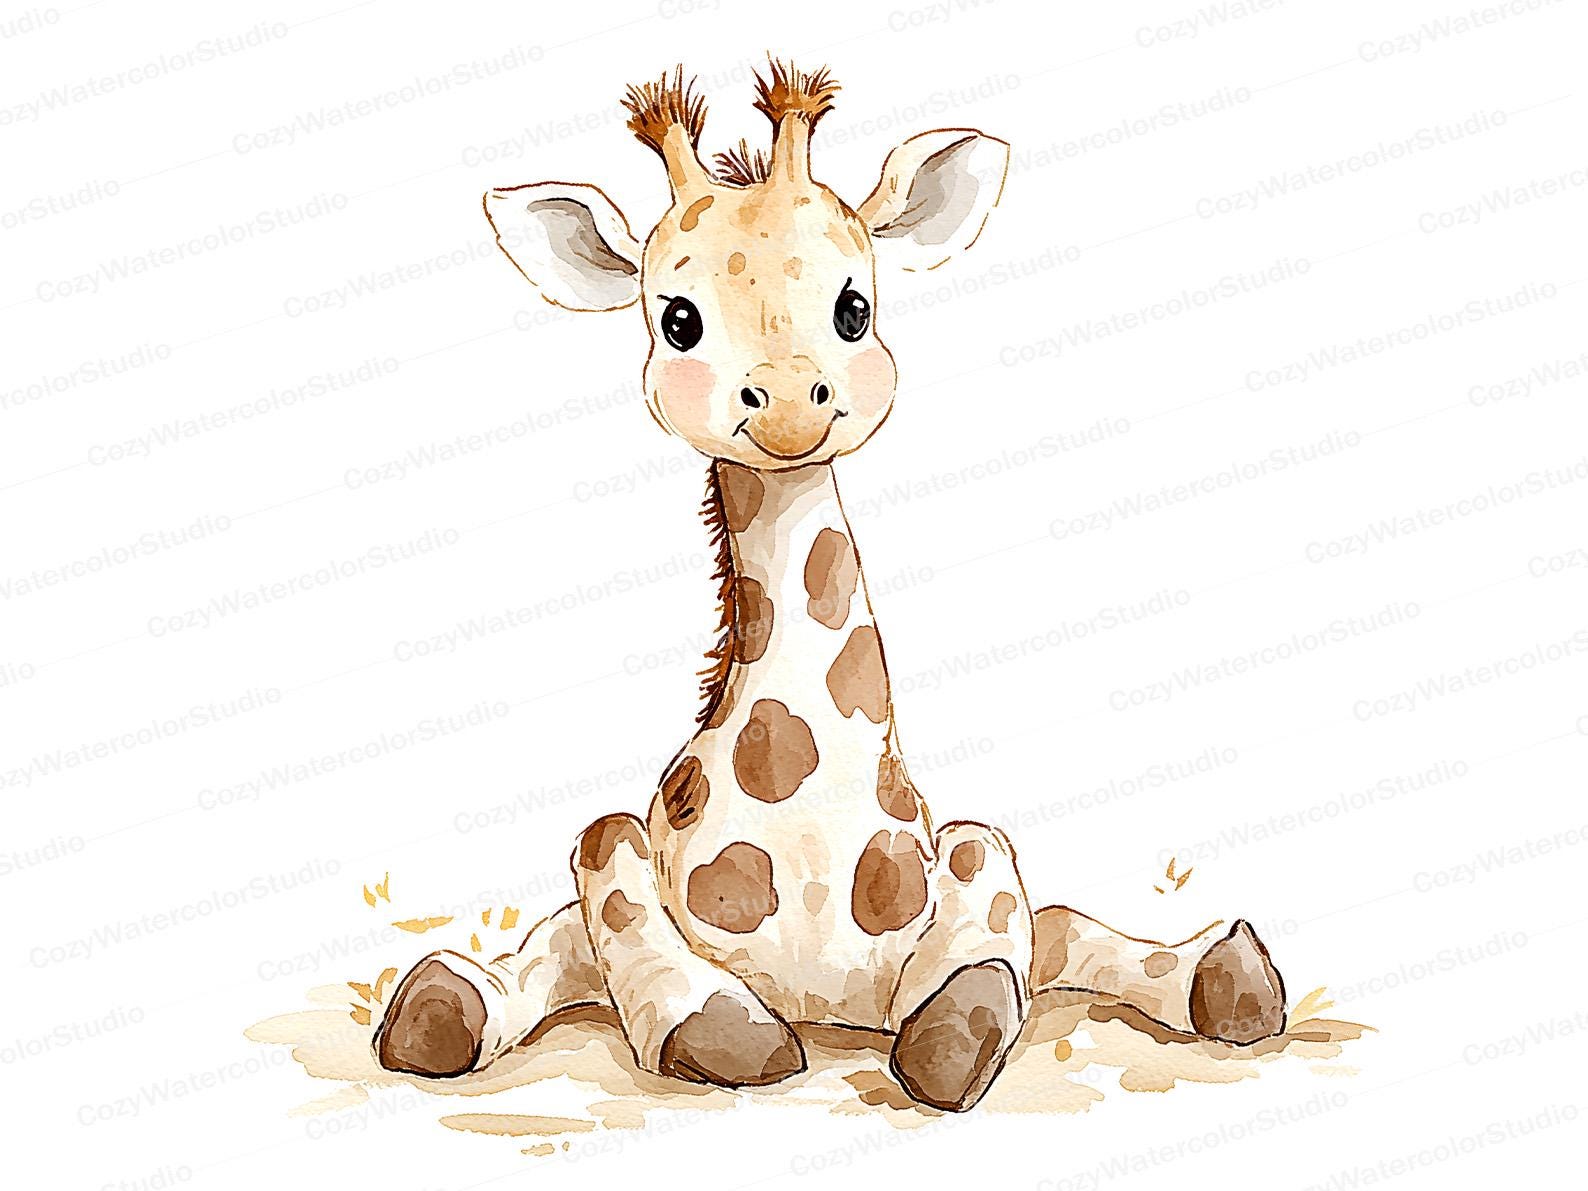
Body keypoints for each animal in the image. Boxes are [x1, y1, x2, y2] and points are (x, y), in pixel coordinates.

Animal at [372, 62, 1287, 1113]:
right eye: (676, 319)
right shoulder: (629, 864)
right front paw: (725, 1031)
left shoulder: (949, 878)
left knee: (1059, 926)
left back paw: (1230, 974)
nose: (785, 401)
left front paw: (954, 1039)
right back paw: (437, 1001)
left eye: (855, 305)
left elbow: (990, 886)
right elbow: (610, 858)